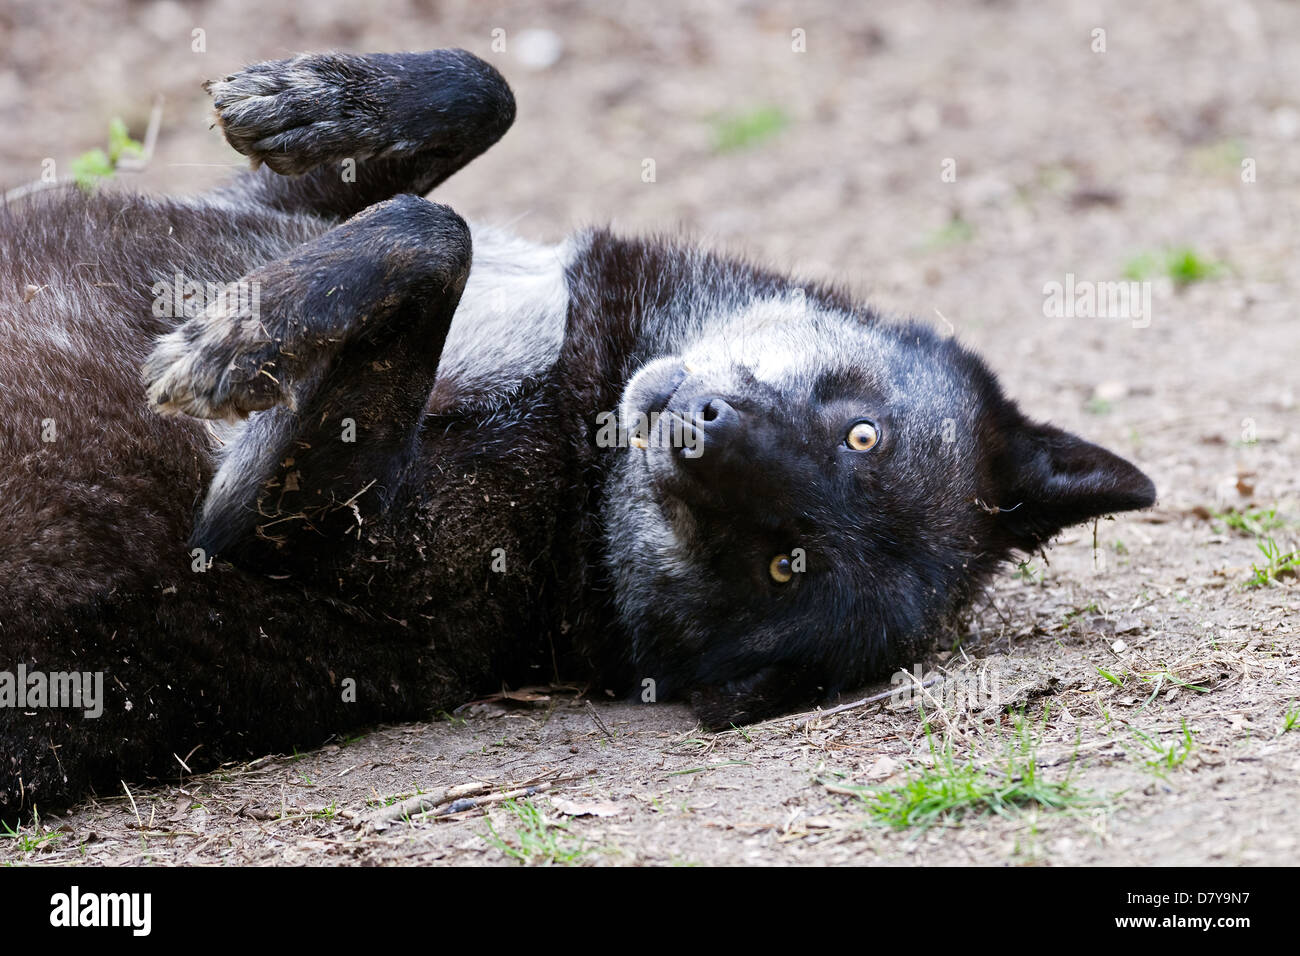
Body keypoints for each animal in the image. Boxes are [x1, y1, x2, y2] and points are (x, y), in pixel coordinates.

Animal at [0, 49, 1154, 817]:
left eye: (786, 562)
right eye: (862, 436)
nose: (696, 429)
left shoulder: (258, 519)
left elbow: (435, 235)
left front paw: (237, 335)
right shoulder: (255, 204)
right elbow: (484, 98)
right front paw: (308, 101)